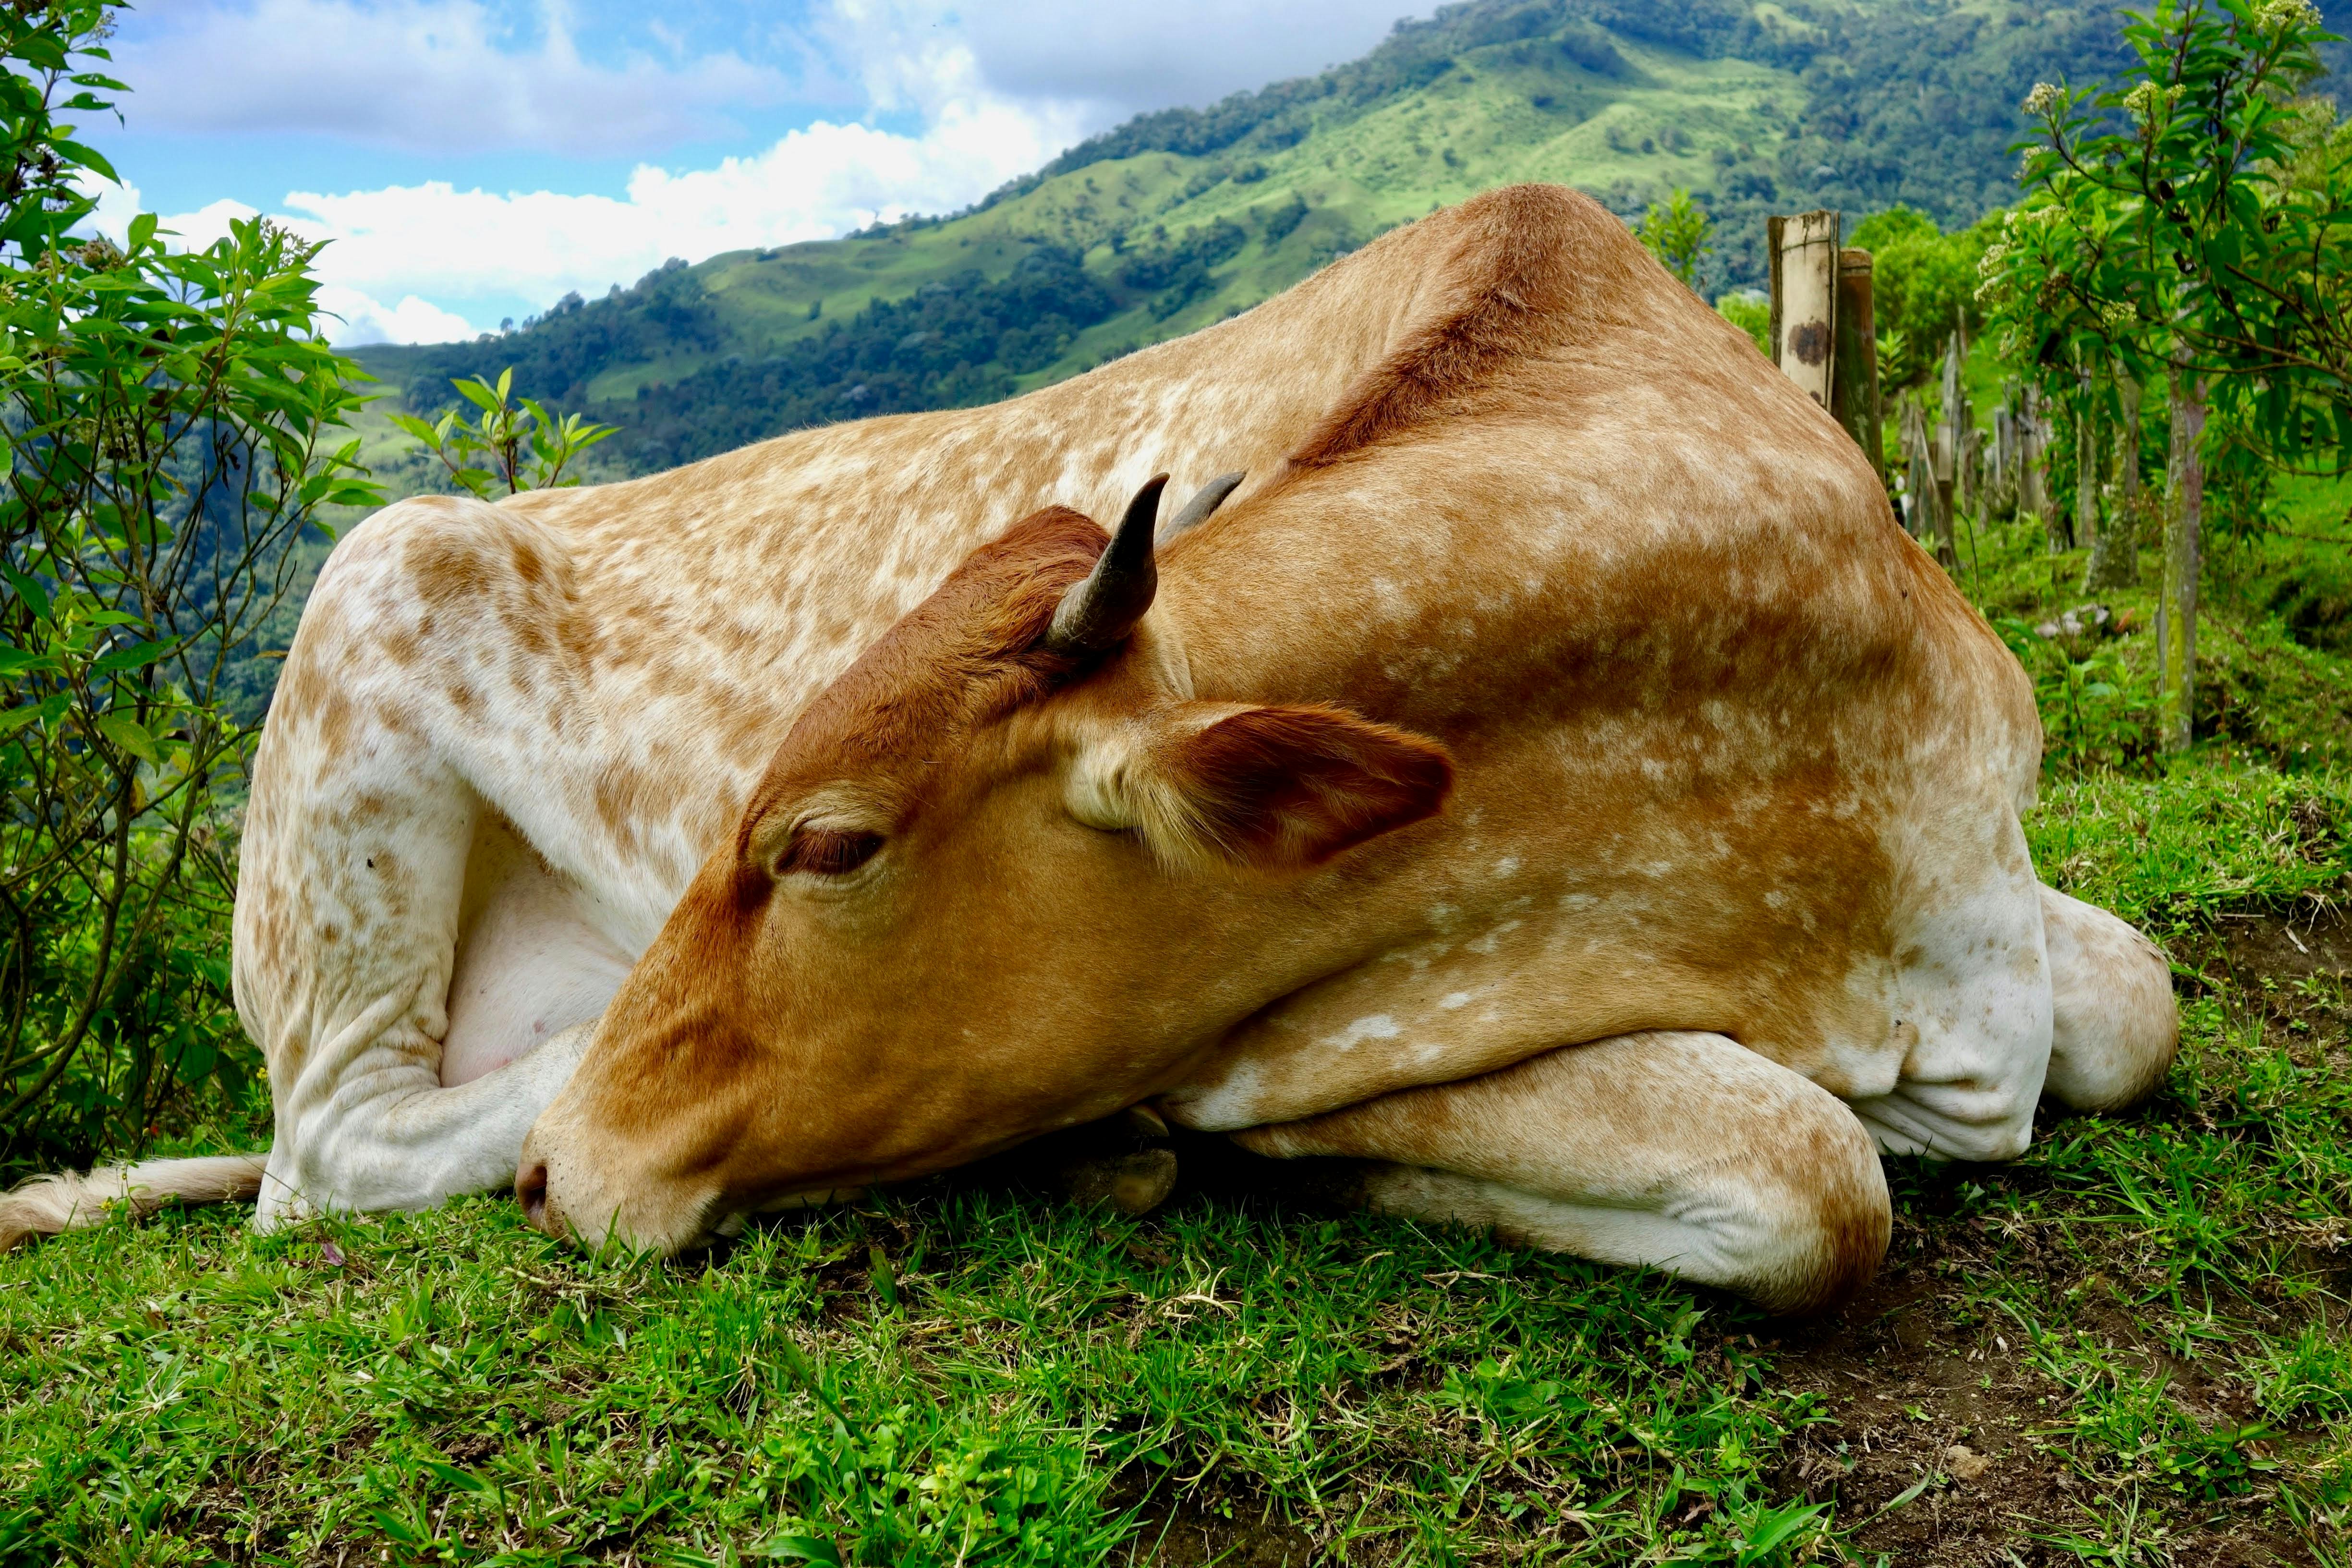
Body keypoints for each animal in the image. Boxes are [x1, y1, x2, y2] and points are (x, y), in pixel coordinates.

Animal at [1, 187, 2175, 1314]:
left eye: (827, 845)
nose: (576, 1166)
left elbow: (2138, 1006)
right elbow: (1813, 1176)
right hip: (371, 606)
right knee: (325, 1147)